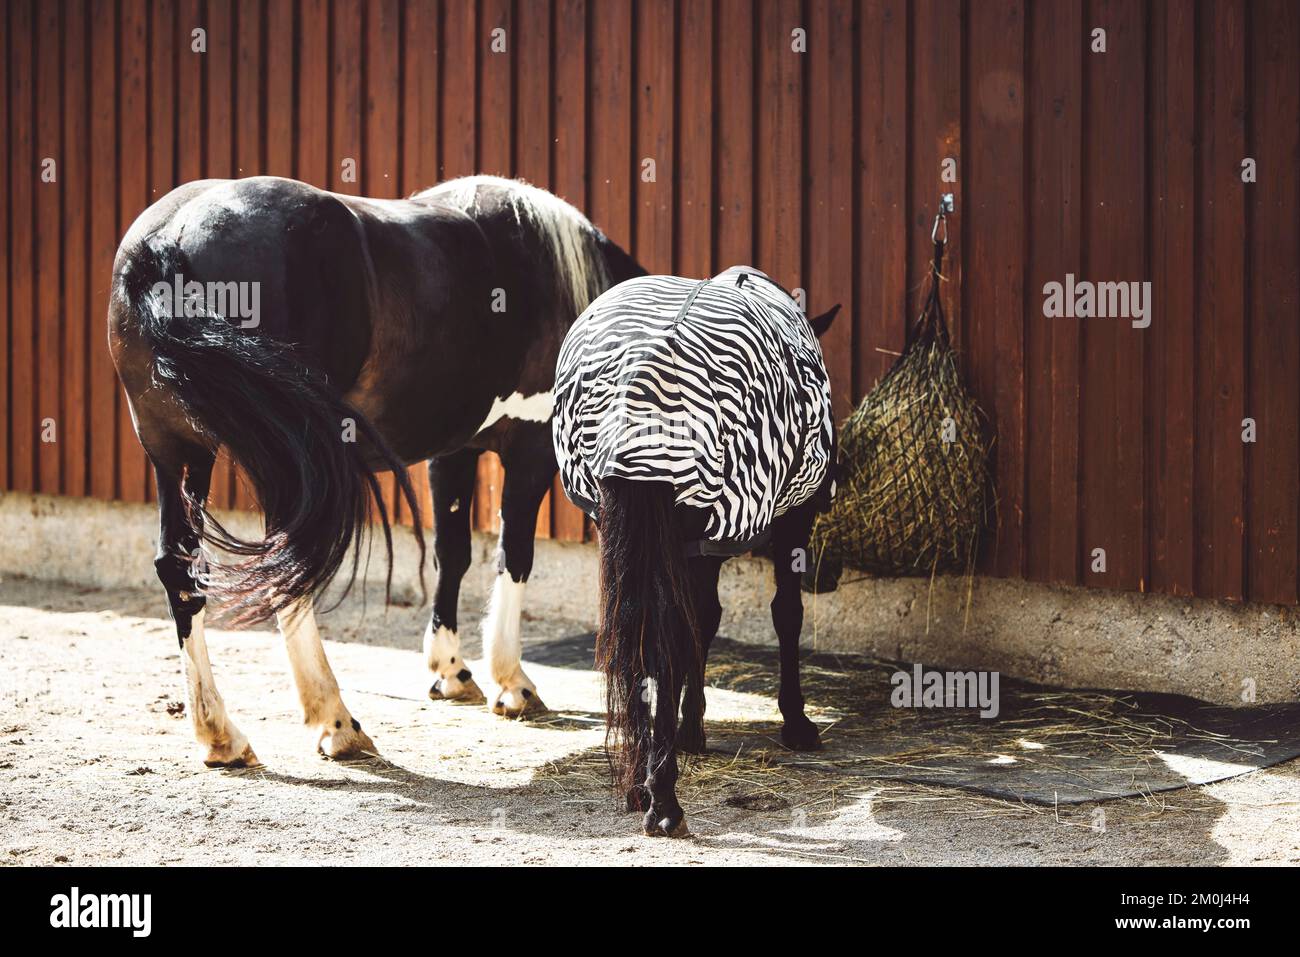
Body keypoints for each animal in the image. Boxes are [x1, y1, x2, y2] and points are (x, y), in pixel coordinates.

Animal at [109, 174, 643, 767]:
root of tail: (166, 241)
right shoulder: (531, 446)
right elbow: (515, 556)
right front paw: (512, 683)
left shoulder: (453, 450)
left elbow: (453, 553)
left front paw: (450, 671)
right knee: (287, 568)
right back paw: (335, 722)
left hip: (179, 451)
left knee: (182, 569)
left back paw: (220, 734)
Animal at [552, 266, 839, 836]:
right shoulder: (784, 525)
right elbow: (783, 614)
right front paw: (795, 721)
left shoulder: (699, 546)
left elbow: (701, 623)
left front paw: (690, 725)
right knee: (663, 641)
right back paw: (663, 799)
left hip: (622, 526)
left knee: (636, 635)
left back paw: (642, 783)